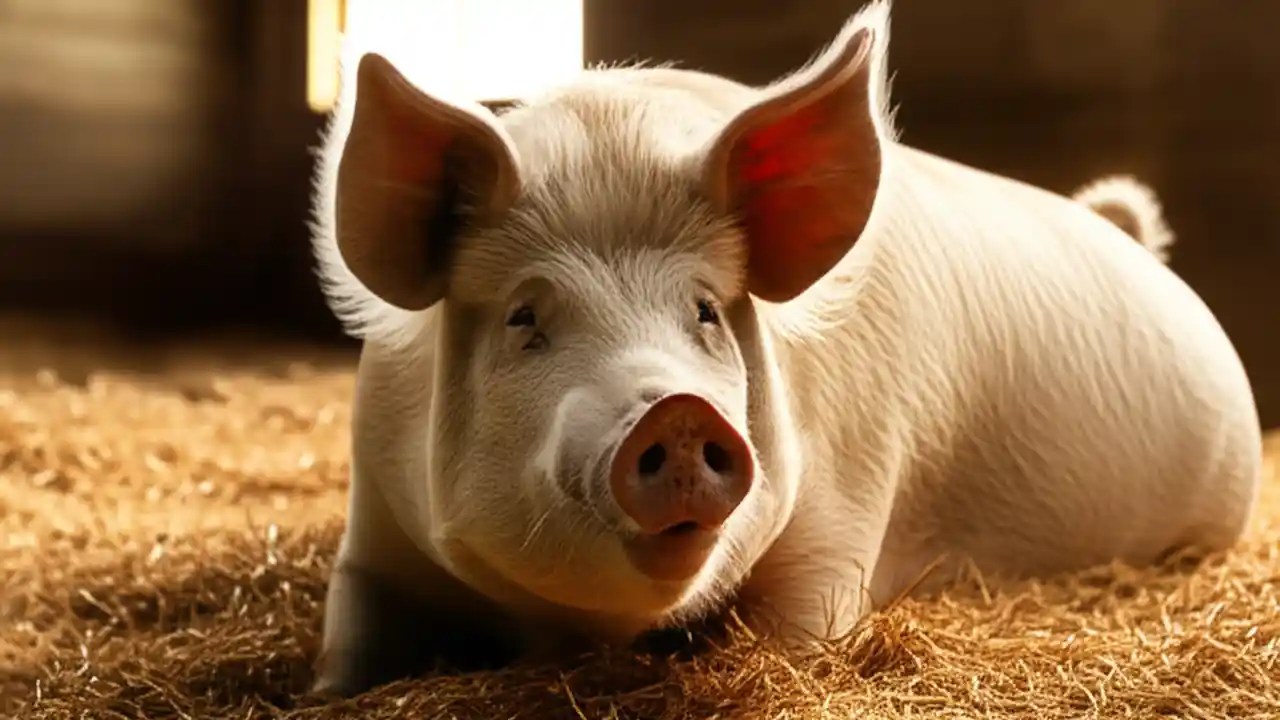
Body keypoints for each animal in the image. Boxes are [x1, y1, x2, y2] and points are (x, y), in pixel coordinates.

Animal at [307, 0, 1262, 696]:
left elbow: (805, 631)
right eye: (523, 318)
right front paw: (321, 692)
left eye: (704, 310)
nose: (676, 412)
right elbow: (349, 647)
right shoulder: (376, 527)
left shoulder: (849, 502)